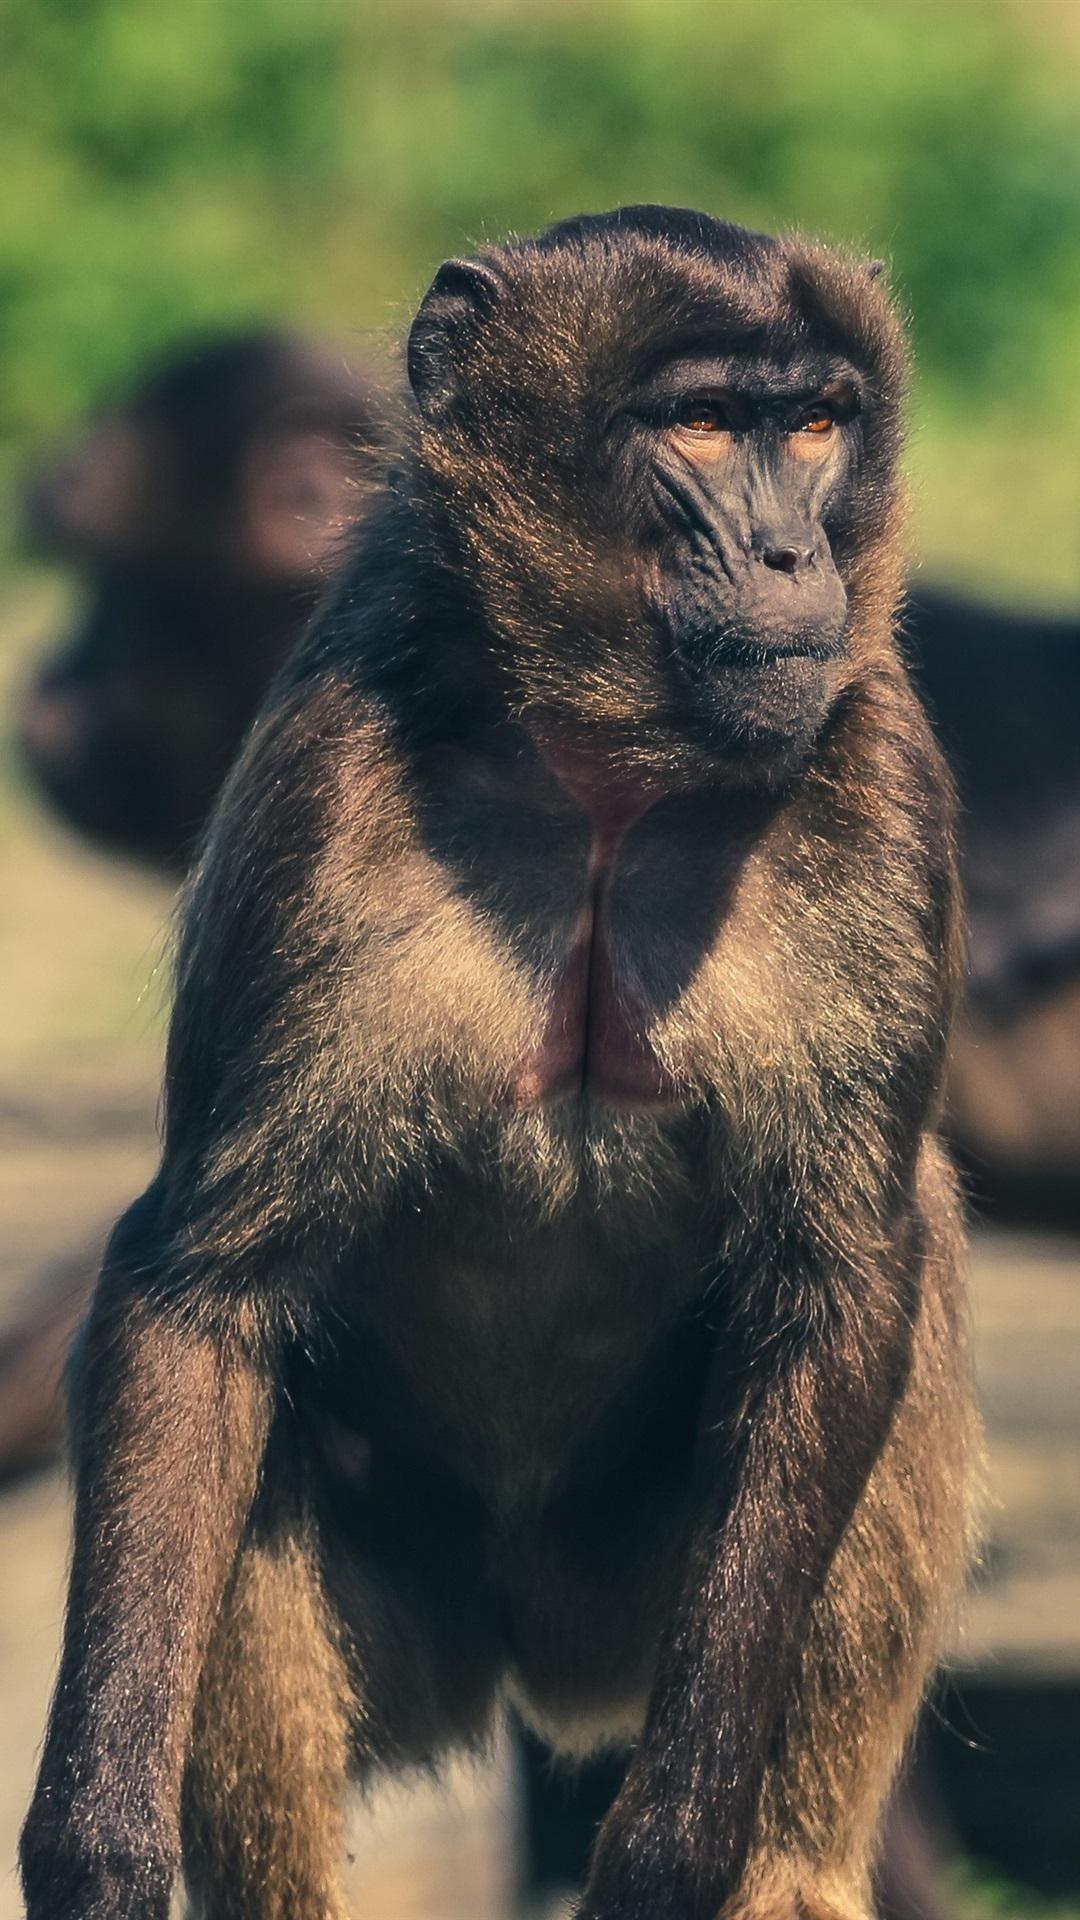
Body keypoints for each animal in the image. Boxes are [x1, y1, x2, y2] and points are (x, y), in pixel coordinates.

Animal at [21, 206, 977, 1920]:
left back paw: (788, 1873)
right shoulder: (323, 788)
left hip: (637, 1608)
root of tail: (538, 1668)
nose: (795, 558)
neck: (608, 780)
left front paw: (676, 1850)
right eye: (703, 423)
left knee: (904, 1268)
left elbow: (844, 1273)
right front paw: (98, 1846)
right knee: (242, 1421)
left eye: (817, 423)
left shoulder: (879, 777)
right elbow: (199, 1290)